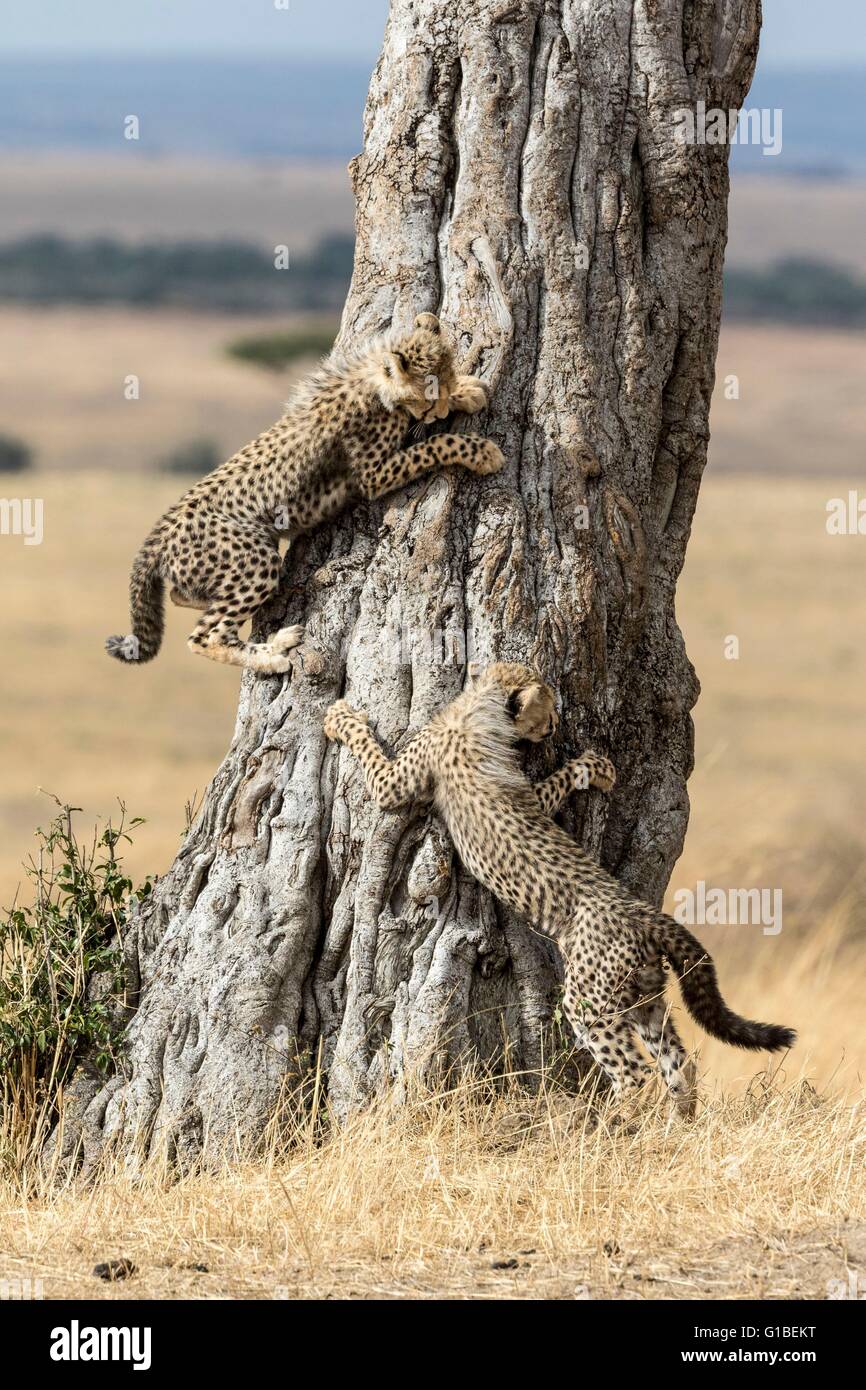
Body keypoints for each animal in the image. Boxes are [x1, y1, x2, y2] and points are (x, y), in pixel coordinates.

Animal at [105, 313, 501, 675]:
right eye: (430, 397)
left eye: (445, 383)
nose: (442, 407)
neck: (372, 379)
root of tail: (159, 532)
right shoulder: (374, 474)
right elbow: (436, 443)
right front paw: (481, 451)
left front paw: (467, 391)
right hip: (254, 557)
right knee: (205, 637)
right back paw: (271, 654)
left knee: (180, 595)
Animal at [323, 661, 795, 1115]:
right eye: (548, 704)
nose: (554, 725)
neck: (480, 709)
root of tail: (641, 910)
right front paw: (599, 769)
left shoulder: (395, 783)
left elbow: (370, 750)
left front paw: (339, 717)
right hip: (641, 991)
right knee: (678, 1061)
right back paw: (676, 1126)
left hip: (588, 998)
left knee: (633, 1071)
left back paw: (604, 1123)